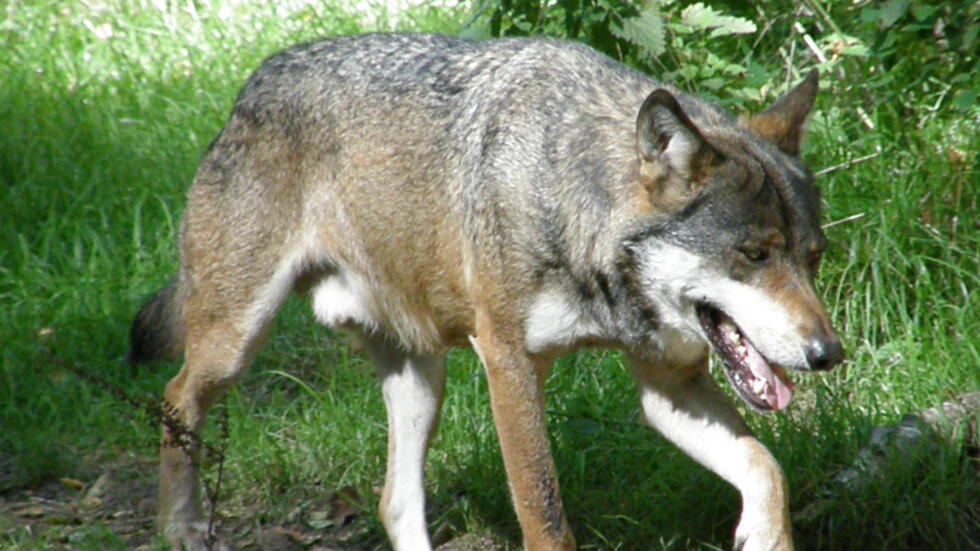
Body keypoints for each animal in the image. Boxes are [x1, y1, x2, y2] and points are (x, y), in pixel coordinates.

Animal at [128, 33, 844, 551]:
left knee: (394, 503)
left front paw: (765, 536)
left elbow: (767, 470)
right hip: (235, 342)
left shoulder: (667, 386)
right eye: (753, 255)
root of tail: (251, 85)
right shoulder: (508, 363)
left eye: (813, 258)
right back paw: (179, 527)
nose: (829, 354)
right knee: (173, 397)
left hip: (422, 380)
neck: (573, 202)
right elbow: (545, 517)